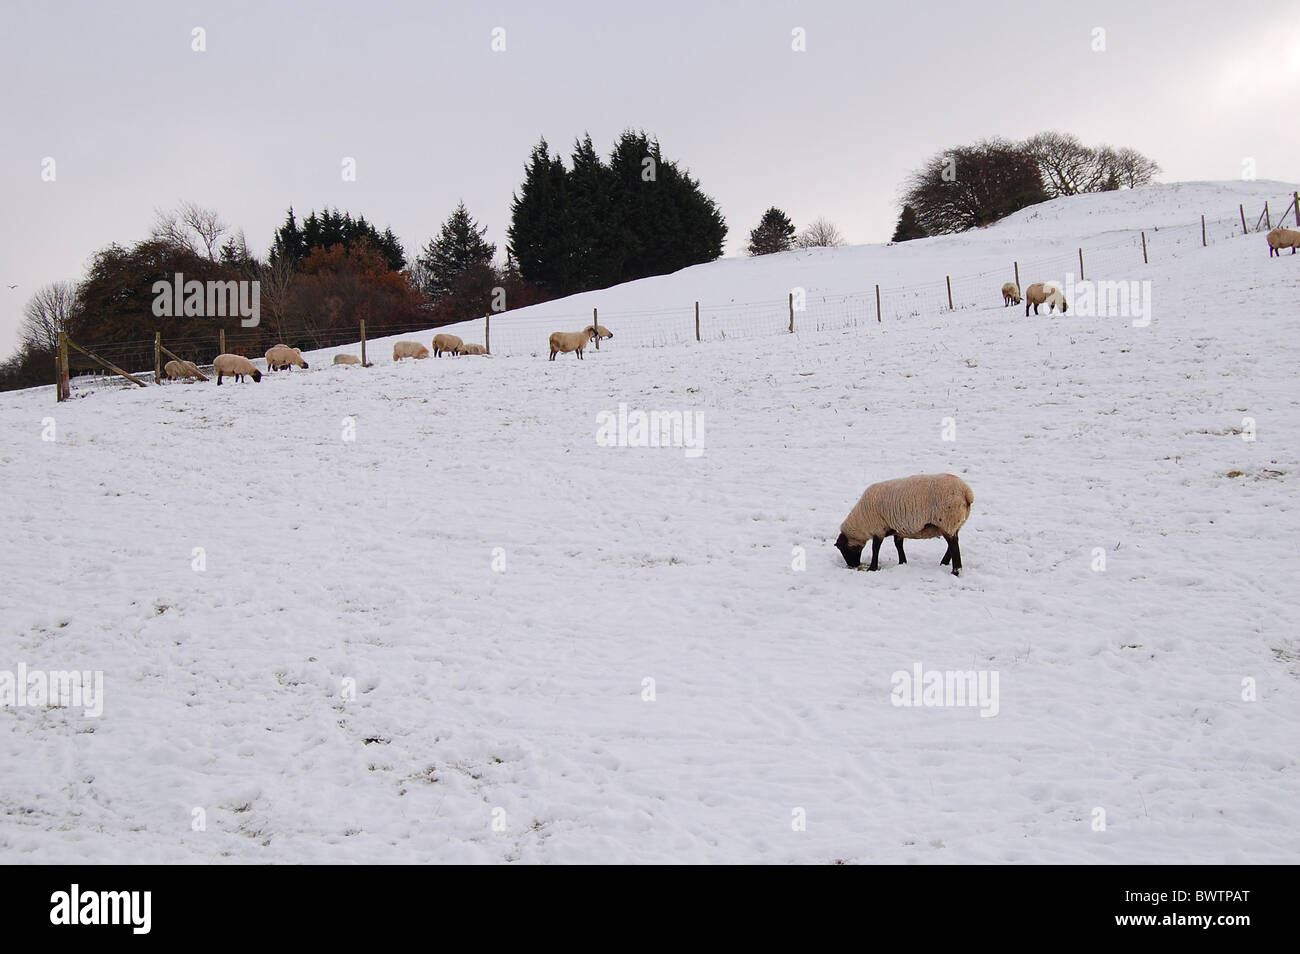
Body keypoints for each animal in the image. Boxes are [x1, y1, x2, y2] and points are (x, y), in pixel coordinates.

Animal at [834, 473, 974, 576]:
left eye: (843, 549)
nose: (853, 565)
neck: (861, 522)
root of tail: (966, 491)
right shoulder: (898, 528)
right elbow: (898, 545)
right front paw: (902, 562)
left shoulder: (878, 528)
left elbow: (876, 548)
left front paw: (872, 568)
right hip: (954, 523)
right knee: (953, 543)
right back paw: (944, 563)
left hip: (947, 520)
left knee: (954, 545)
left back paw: (956, 571)